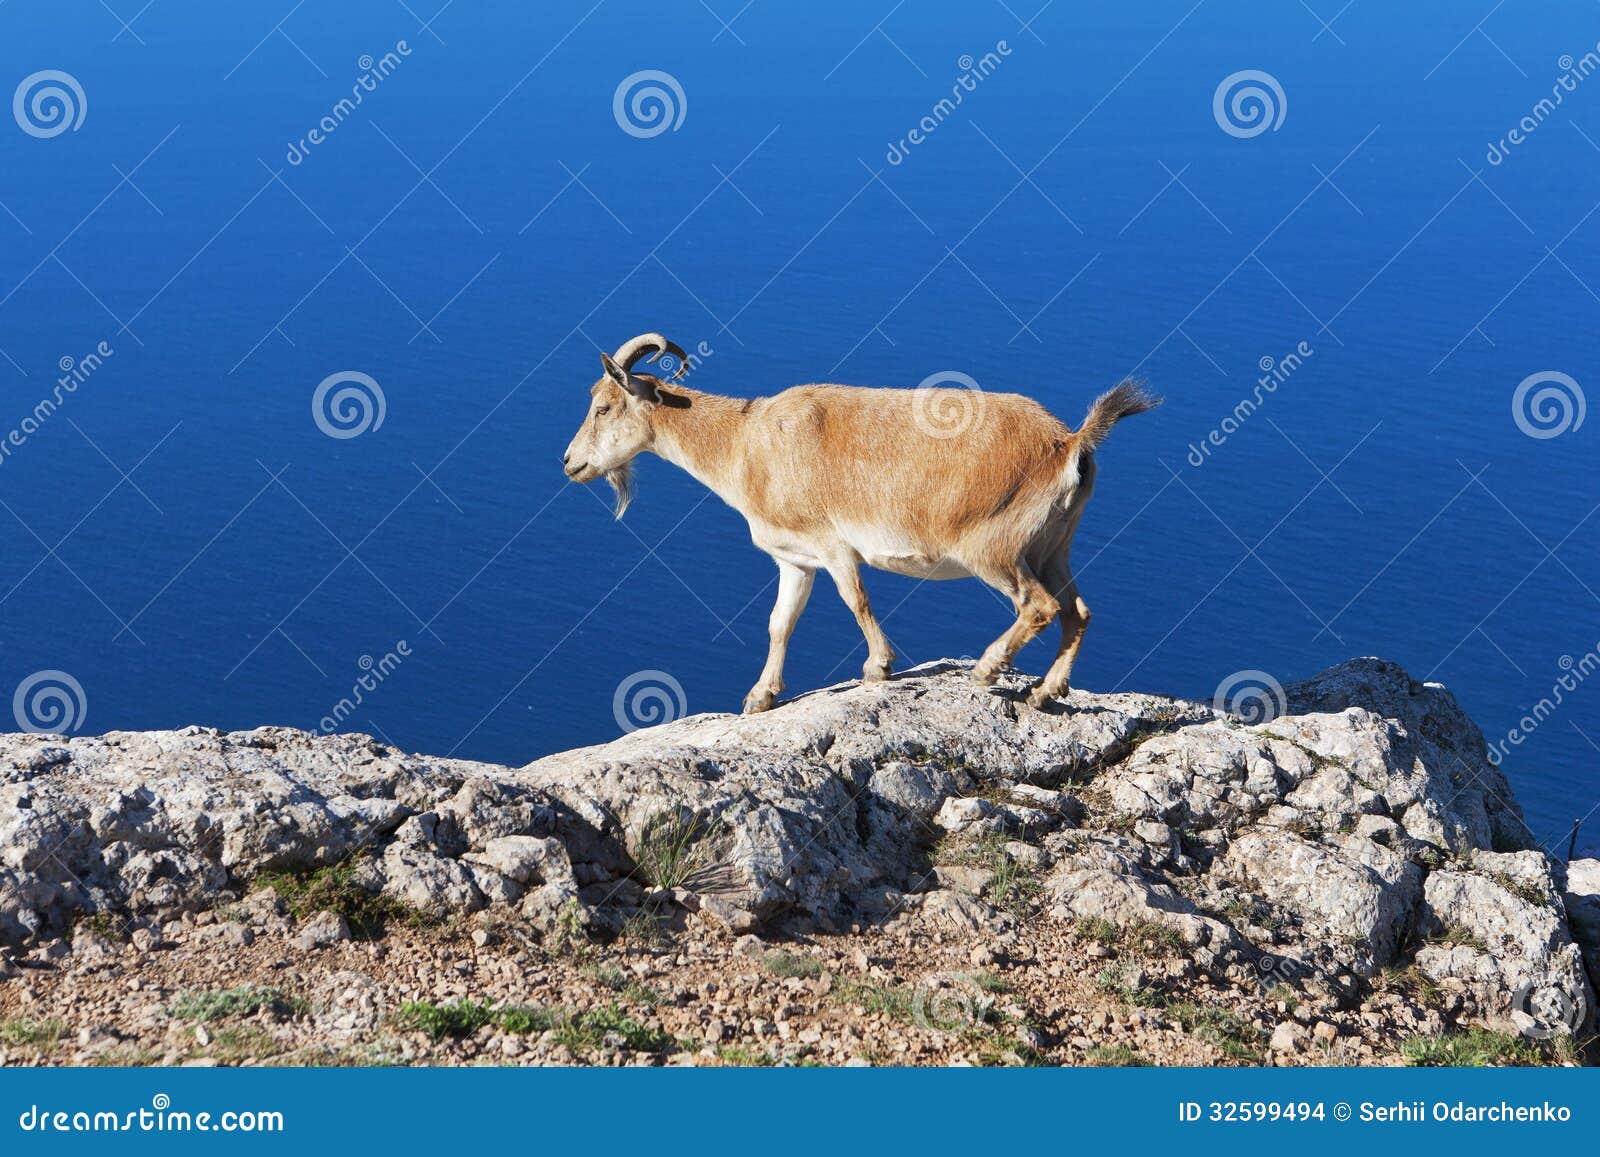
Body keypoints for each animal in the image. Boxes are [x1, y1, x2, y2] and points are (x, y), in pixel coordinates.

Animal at [562, 333, 1159, 713]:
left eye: (603, 407)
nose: (571, 463)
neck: (744, 445)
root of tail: (1070, 443)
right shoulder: (795, 560)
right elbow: (780, 623)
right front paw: (761, 696)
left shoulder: (833, 546)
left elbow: (856, 600)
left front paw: (879, 667)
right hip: (1053, 546)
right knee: (1078, 611)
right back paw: (1045, 691)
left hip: (996, 550)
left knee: (1040, 607)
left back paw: (989, 669)